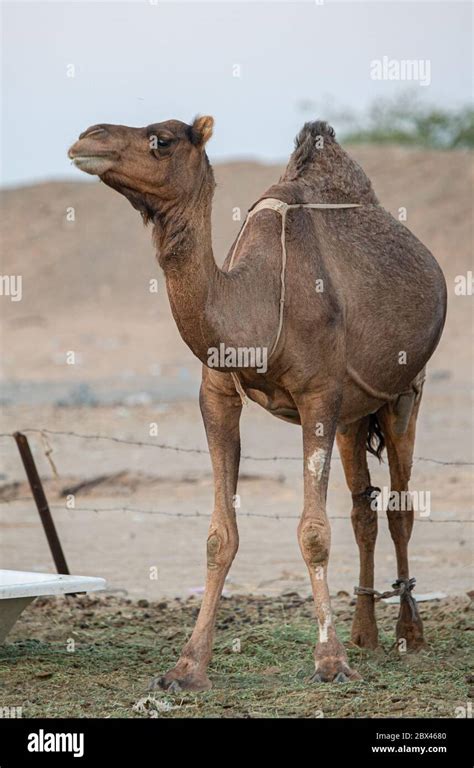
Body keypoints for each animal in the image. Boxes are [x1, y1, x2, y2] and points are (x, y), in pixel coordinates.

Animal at [68, 116, 447, 690]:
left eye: (162, 139)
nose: (87, 137)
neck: (253, 305)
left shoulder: (319, 394)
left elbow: (313, 532)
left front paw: (330, 662)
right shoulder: (218, 395)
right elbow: (219, 535)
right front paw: (186, 667)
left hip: (406, 390)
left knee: (402, 507)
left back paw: (409, 634)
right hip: (354, 415)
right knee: (364, 509)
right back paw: (365, 633)